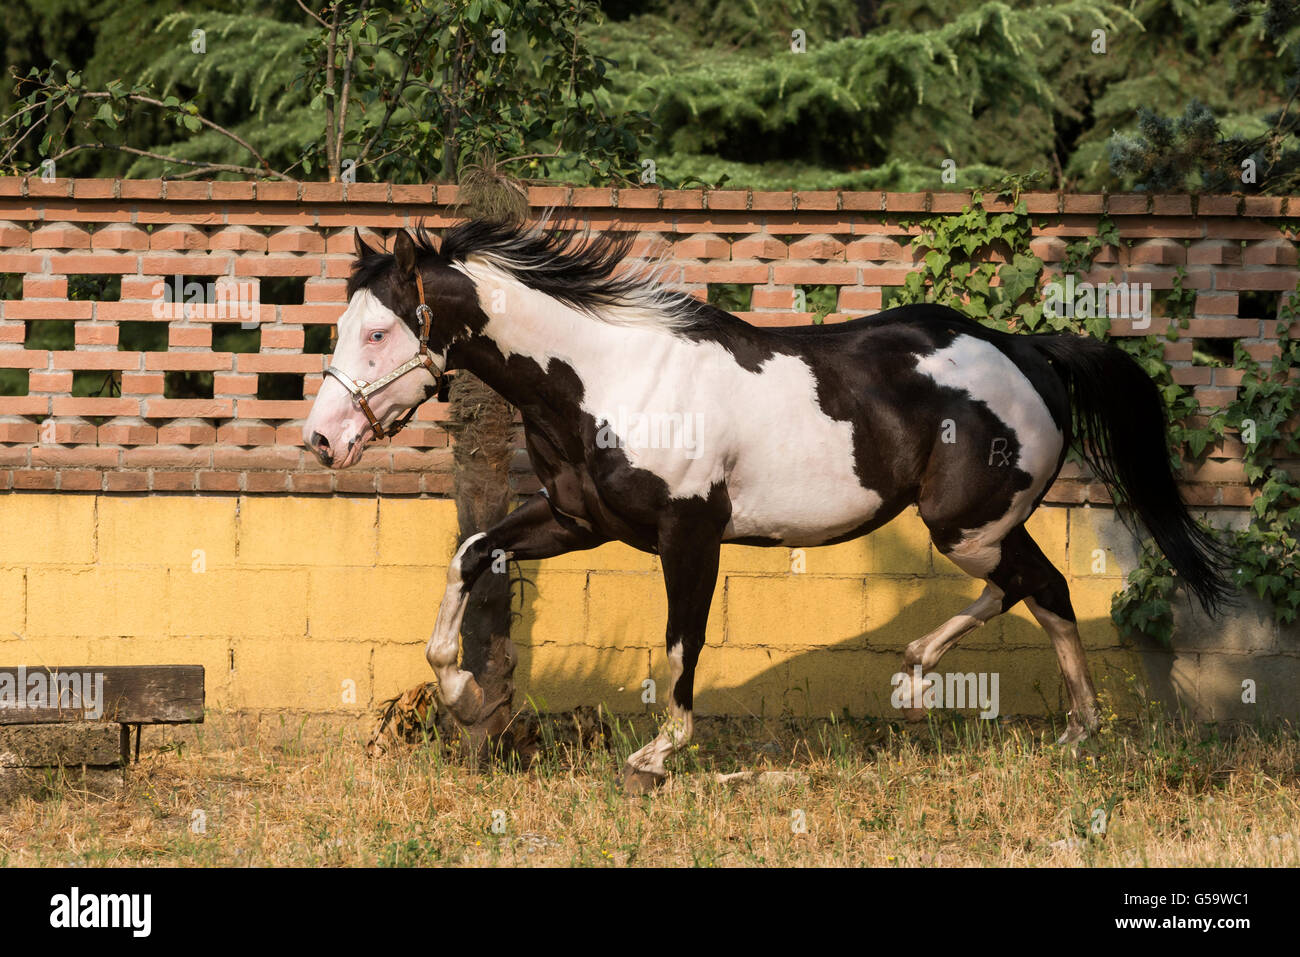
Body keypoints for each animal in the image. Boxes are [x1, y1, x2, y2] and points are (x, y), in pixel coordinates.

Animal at [302, 218, 1231, 794]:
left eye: (379, 332)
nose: (320, 439)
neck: (606, 378)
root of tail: (1029, 348)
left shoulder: (690, 534)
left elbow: (682, 642)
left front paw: (658, 755)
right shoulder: (576, 523)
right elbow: (471, 553)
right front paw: (461, 692)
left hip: (965, 523)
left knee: (1040, 585)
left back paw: (1014, 705)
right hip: (979, 525)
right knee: (1037, 586)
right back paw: (985, 697)